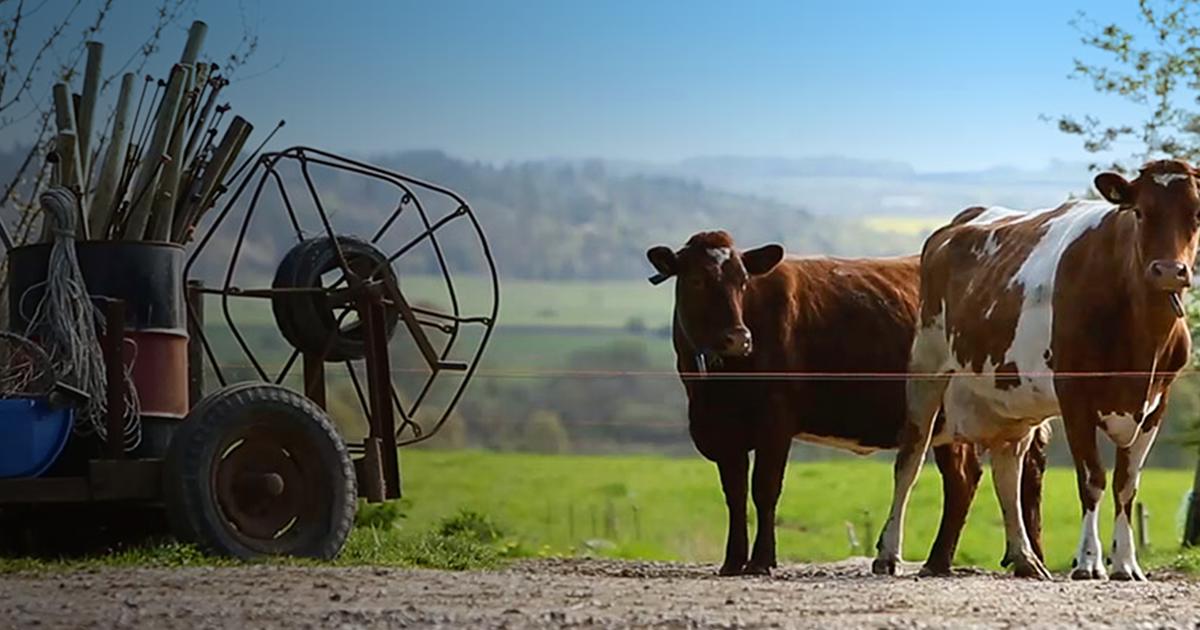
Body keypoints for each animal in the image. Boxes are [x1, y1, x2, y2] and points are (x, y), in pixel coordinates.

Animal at [646, 230, 1047, 576]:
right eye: (696, 281)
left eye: (743, 282)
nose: (738, 338)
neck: (716, 386)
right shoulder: (724, 430)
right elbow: (734, 493)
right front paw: (732, 562)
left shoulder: (775, 419)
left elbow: (764, 488)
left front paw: (761, 561)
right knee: (964, 479)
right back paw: (938, 563)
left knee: (988, 476)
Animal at [873, 159, 1199, 581]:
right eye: (1140, 212)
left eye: (1196, 214)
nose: (1169, 271)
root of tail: (961, 220)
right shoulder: (1075, 395)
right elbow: (1092, 479)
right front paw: (1089, 562)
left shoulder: (1156, 403)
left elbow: (1127, 484)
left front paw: (1126, 564)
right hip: (927, 366)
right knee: (909, 461)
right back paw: (888, 553)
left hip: (1012, 399)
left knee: (1008, 471)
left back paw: (1025, 557)